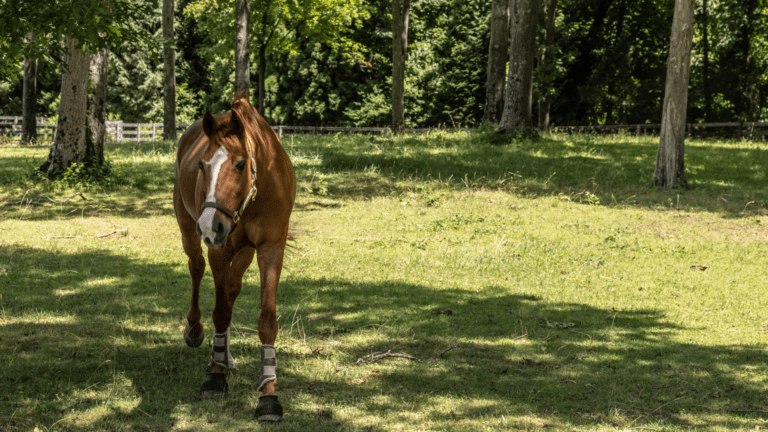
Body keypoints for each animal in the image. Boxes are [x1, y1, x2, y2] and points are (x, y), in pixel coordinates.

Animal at [173, 98, 295, 421]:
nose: (210, 225)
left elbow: (266, 321)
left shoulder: (270, 249)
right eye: (202, 165)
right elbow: (220, 312)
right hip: (189, 231)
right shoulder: (219, 249)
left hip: (243, 251)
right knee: (197, 270)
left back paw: (225, 355)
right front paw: (215, 376)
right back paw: (196, 332)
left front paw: (269, 393)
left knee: (230, 289)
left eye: (240, 164)